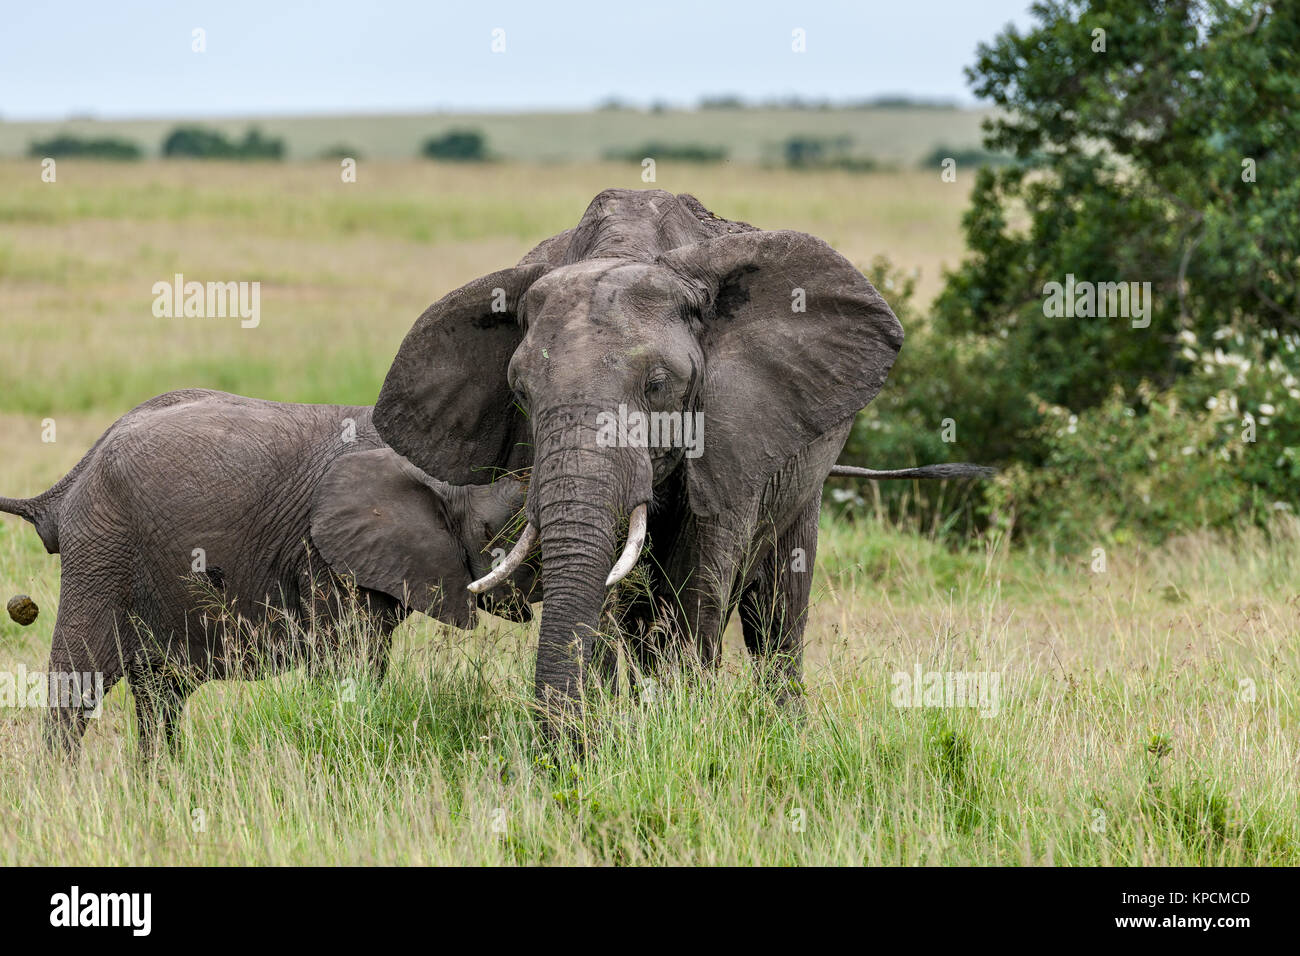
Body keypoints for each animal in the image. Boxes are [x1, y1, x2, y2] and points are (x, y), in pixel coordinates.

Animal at [0, 388, 535, 758]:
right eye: (495, 530)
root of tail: (70, 480)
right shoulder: (322, 557)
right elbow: (346, 664)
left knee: (160, 694)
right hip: (101, 552)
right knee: (79, 682)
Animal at [371, 187, 990, 733]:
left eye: (658, 386)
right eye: (520, 393)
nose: (560, 745)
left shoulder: (732, 432)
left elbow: (697, 585)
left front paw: (678, 725)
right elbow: (608, 591)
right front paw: (608, 736)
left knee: (778, 607)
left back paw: (787, 730)